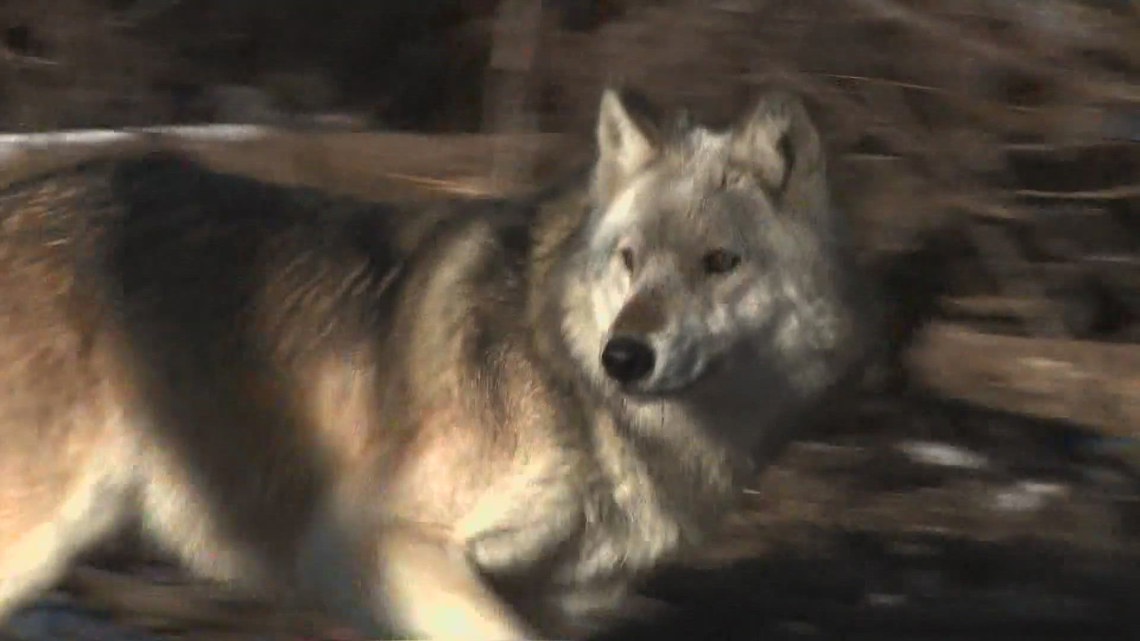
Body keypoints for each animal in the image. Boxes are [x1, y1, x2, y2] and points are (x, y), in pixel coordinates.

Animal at [0, 87, 872, 639]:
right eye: (630, 258)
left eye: (719, 261)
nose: (623, 355)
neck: (573, 394)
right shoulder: (374, 543)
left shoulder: (553, 596)